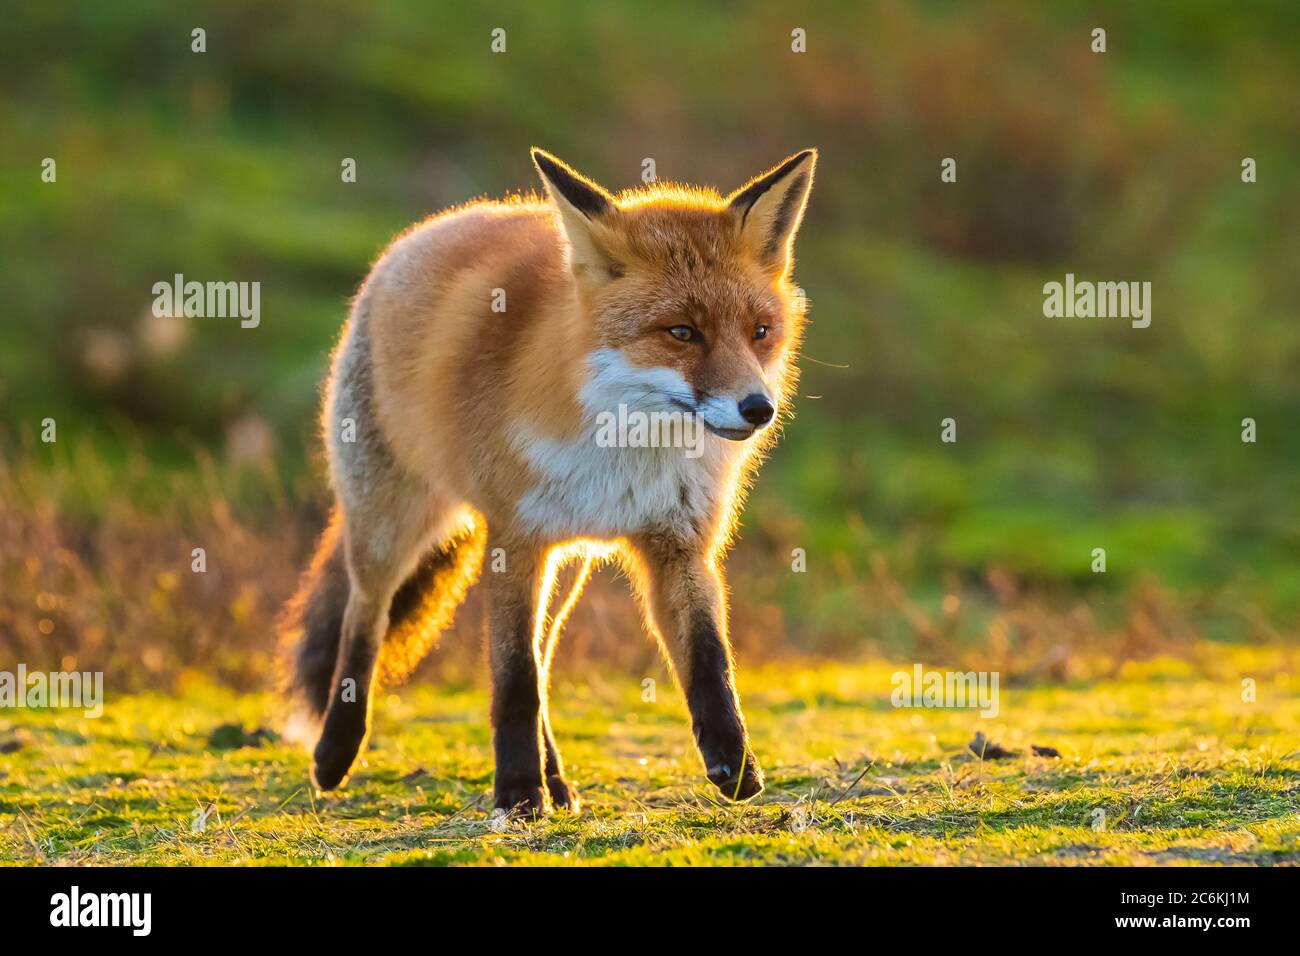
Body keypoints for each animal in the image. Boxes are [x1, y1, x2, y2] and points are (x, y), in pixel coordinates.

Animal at [280, 146, 817, 815]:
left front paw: (735, 765)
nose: (757, 408)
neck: (622, 449)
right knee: (364, 616)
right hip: (392, 524)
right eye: (682, 333)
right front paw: (515, 793)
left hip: (566, 565)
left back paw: (557, 779)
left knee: (541, 651)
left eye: (760, 332)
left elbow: (708, 663)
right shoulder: (515, 540)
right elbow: (512, 681)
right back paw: (335, 752)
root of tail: (422, 233)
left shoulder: (677, 544)